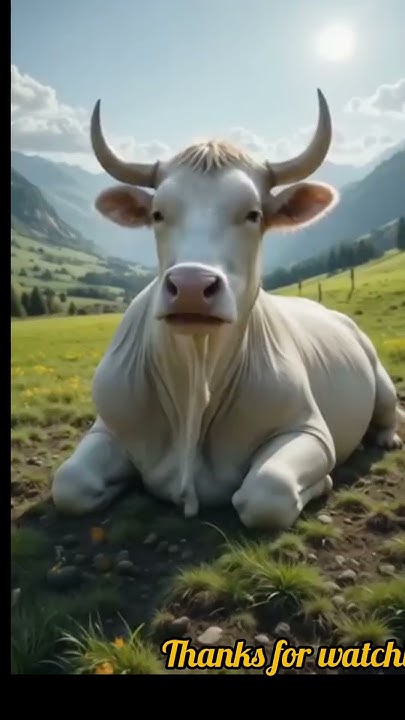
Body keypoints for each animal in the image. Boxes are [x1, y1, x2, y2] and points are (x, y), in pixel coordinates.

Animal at [51, 89, 404, 531]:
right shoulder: (108, 426)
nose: (190, 287)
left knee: (392, 411)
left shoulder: (309, 430)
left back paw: (387, 436)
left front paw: (321, 482)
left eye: (253, 214)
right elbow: (69, 484)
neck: (194, 378)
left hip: (380, 380)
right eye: (158, 214)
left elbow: (268, 492)